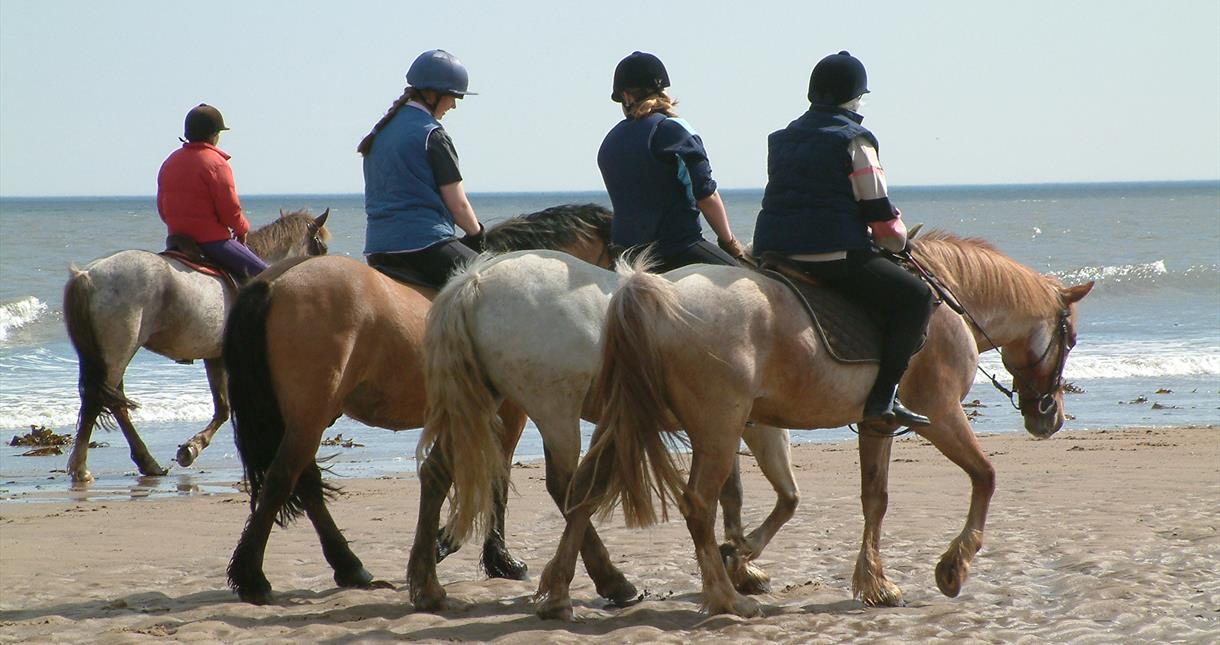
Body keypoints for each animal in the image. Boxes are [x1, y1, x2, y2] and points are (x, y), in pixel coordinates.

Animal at [62, 209, 331, 483]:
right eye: (321, 247)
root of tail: (87, 276)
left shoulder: (214, 357)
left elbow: (222, 408)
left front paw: (190, 448)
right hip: (117, 354)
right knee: (99, 401)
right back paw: (82, 467)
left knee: (112, 403)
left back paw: (146, 463)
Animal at [221, 204, 619, 605]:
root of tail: (273, 283)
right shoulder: (509, 413)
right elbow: (499, 479)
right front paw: (496, 558)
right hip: (309, 415)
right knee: (283, 478)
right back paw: (254, 576)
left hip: (300, 416)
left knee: (305, 483)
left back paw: (347, 565)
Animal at [410, 249, 801, 612]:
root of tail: (475, 282)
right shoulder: (734, 419)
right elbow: (752, 494)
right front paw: (739, 563)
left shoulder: (722, 422)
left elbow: (733, 494)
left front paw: (739, 563)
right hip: (555, 408)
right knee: (566, 486)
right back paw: (609, 580)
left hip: (482, 399)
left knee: (436, 472)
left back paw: (427, 584)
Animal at [521, 232, 1092, 618]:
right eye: (1070, 339)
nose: (1050, 417)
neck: (947, 300)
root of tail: (648, 289)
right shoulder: (941, 414)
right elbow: (985, 477)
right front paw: (953, 568)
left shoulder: (877, 424)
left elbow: (875, 498)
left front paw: (875, 583)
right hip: (718, 427)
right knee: (697, 503)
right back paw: (726, 599)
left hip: (625, 421)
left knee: (584, 493)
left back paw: (559, 593)